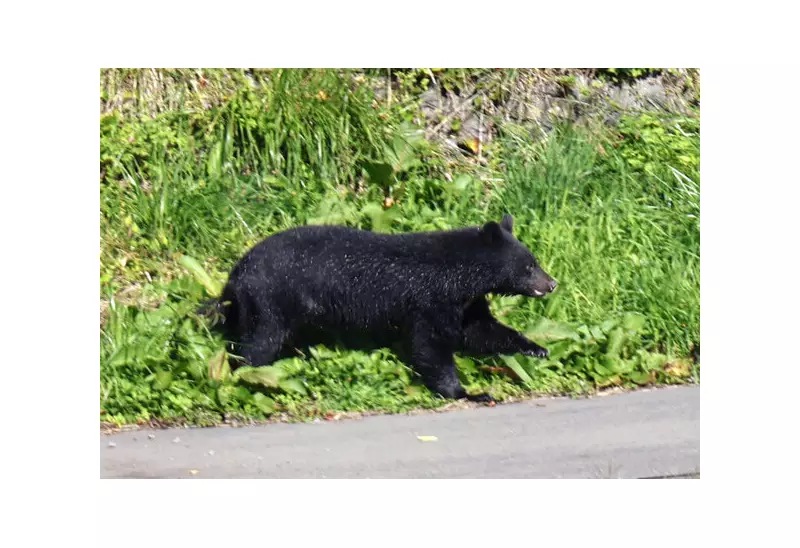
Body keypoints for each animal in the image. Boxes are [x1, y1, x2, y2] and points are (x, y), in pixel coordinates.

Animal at [212, 214, 557, 403]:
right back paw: (243, 377)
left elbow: (480, 330)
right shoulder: (429, 301)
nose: (551, 283)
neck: (459, 276)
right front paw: (466, 392)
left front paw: (536, 348)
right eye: (529, 266)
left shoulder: (466, 304)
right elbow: (431, 346)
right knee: (259, 343)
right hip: (270, 300)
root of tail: (235, 274)